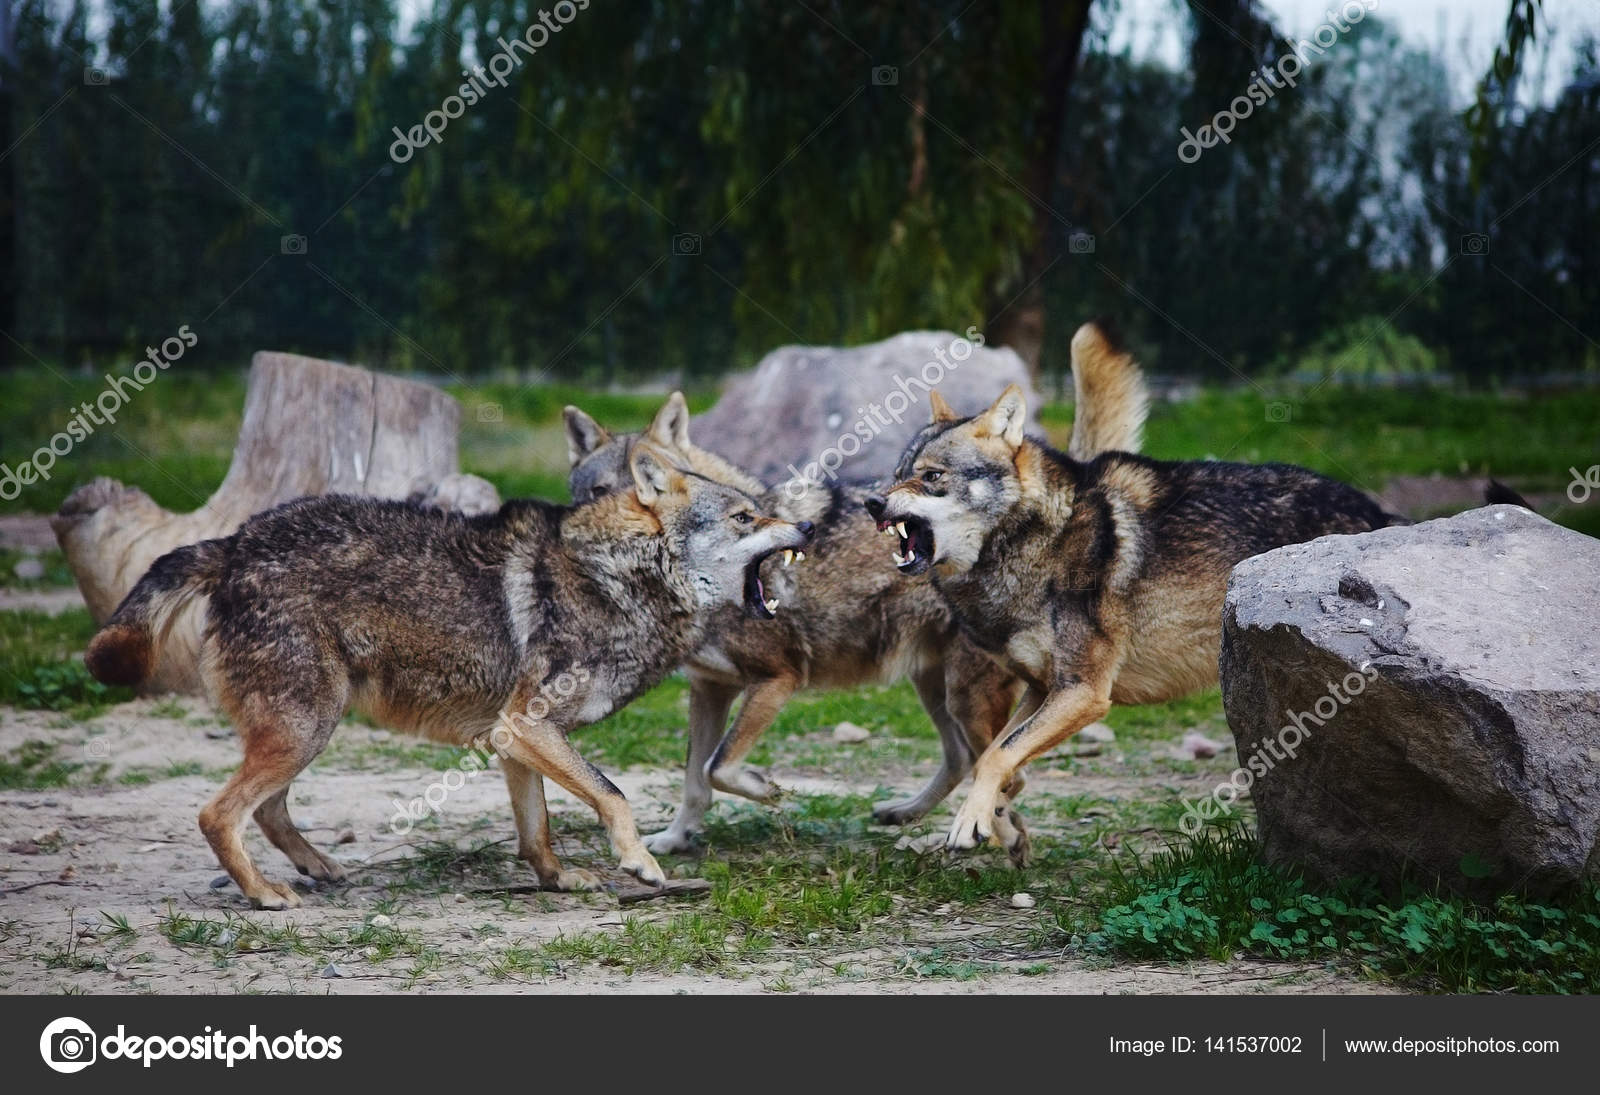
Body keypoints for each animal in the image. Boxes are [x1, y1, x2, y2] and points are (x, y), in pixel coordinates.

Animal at [84, 443, 812, 908]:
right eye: (746, 517)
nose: (806, 525)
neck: (617, 576)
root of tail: (234, 543)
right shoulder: (530, 728)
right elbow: (615, 793)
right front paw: (638, 862)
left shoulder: (513, 740)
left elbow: (537, 831)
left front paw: (556, 880)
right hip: (305, 727)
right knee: (218, 813)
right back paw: (265, 894)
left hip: (305, 730)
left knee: (263, 809)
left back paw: (316, 869)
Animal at [562, 323, 1149, 857]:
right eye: (597, 493)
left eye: (652, 490)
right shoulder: (708, 688)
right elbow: (694, 780)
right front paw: (675, 839)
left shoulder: (778, 679)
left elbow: (718, 765)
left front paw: (765, 790)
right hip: (933, 687)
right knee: (965, 759)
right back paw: (910, 815)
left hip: (964, 694)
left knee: (1002, 770)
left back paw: (998, 840)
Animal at [868, 350, 1404, 860]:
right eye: (897, 476)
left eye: (931, 476)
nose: (872, 503)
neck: (1037, 538)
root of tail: (1381, 513)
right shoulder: (1045, 689)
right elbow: (993, 756)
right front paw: (1000, 820)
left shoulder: (1084, 692)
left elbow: (998, 755)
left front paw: (970, 824)